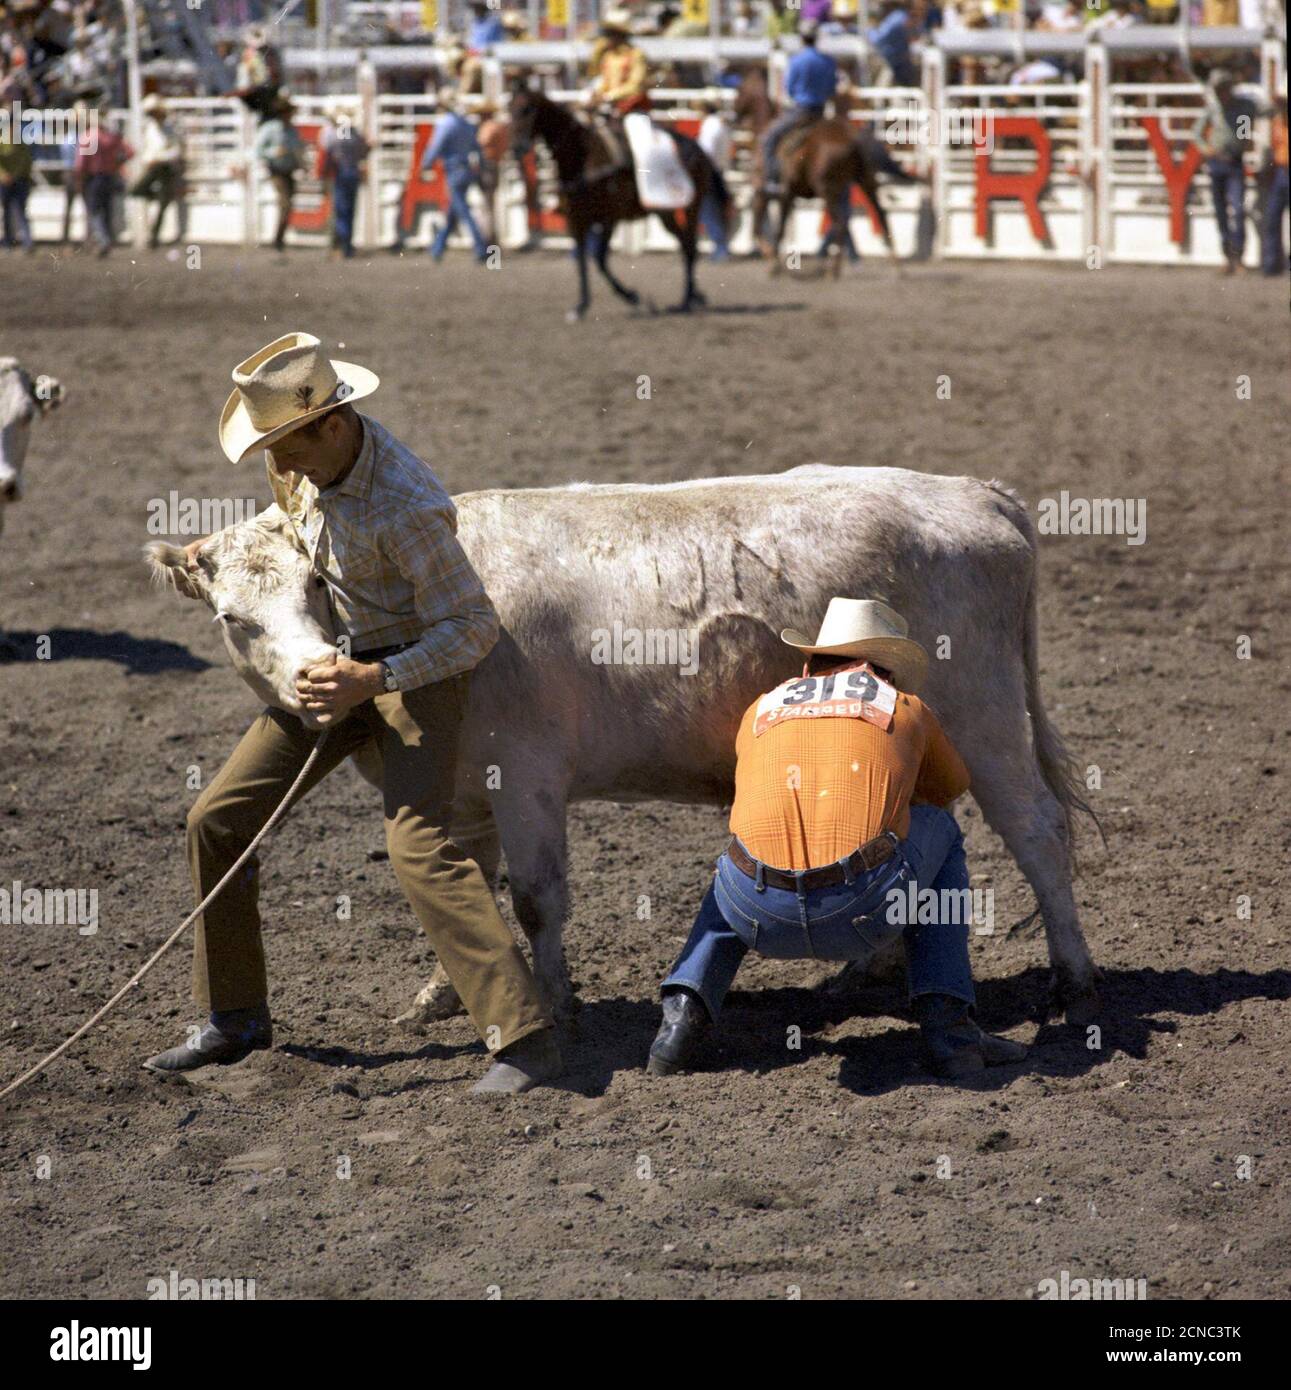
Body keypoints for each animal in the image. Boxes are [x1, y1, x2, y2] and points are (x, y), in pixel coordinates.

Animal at [147, 465, 1102, 1032]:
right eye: (232, 617)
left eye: (315, 586)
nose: (316, 677)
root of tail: (973, 491)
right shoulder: (459, 789)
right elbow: (461, 883)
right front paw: (439, 995)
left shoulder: (526, 773)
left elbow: (535, 899)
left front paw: (554, 1003)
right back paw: (868, 966)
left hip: (983, 714)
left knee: (1035, 829)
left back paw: (1074, 975)